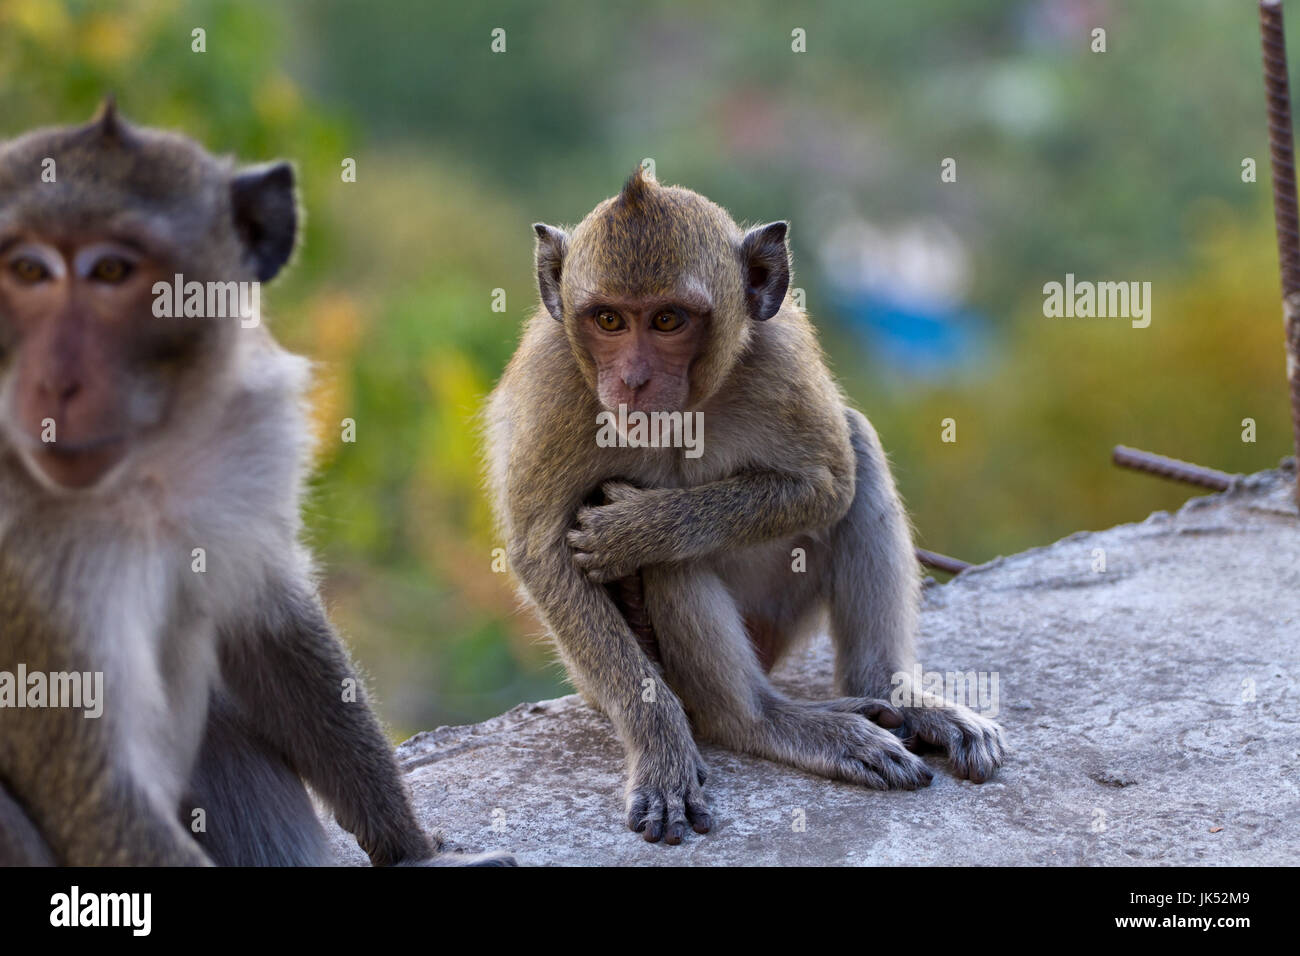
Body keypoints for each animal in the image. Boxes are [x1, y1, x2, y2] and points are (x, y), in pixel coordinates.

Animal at [0, 102, 511, 866]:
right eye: (27, 270)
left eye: (112, 270)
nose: (55, 381)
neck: (145, 462)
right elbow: (96, 788)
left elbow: (268, 629)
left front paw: (412, 850)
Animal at [485, 167, 1005, 845]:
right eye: (608, 319)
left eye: (668, 320)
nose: (632, 381)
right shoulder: (558, 384)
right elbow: (542, 550)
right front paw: (661, 749)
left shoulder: (777, 355)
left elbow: (830, 480)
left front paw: (634, 527)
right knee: (674, 577)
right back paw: (758, 721)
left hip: (777, 619)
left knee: (854, 447)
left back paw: (888, 695)